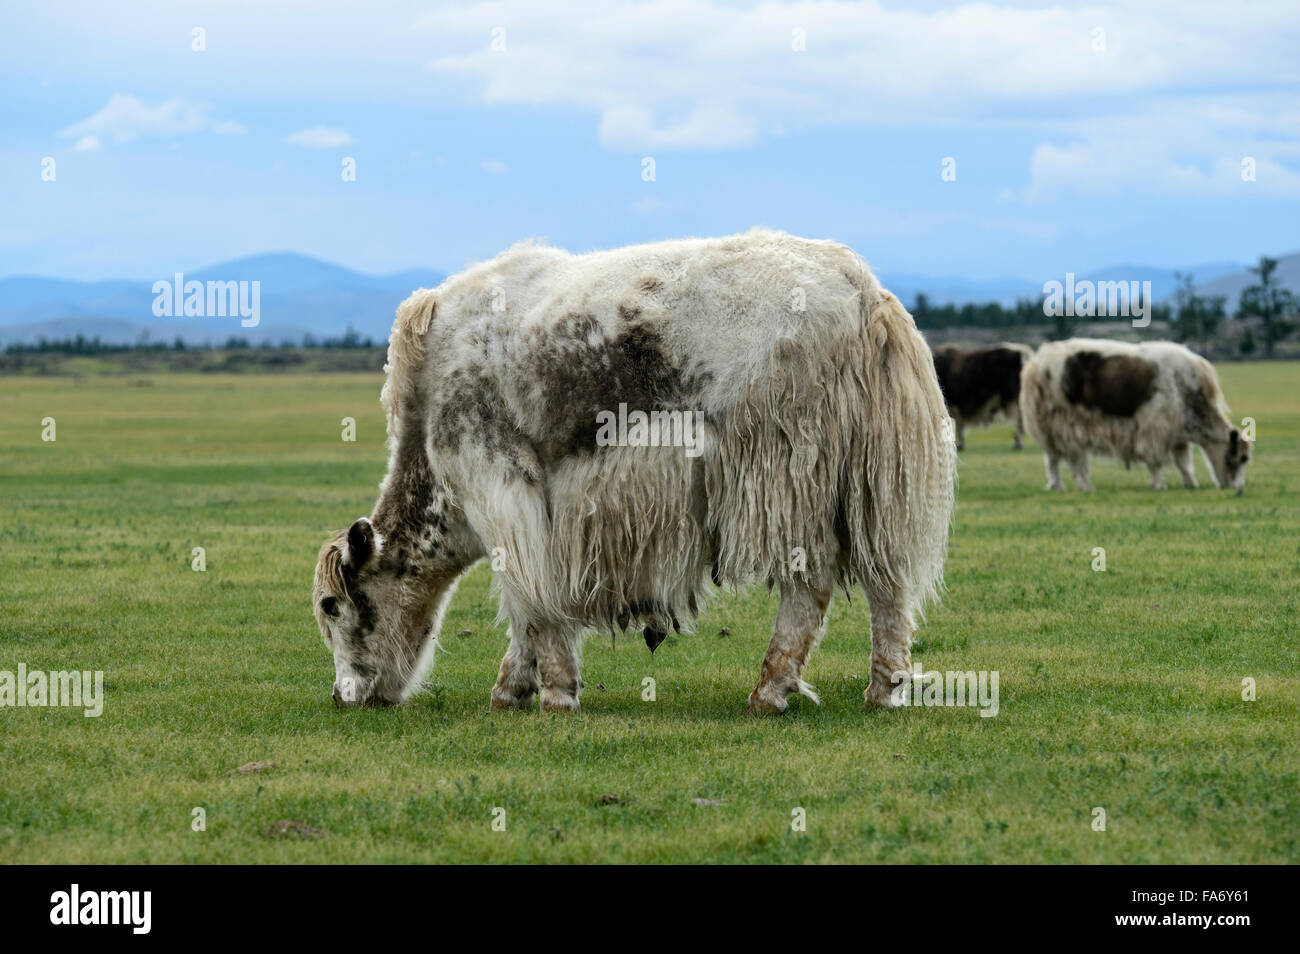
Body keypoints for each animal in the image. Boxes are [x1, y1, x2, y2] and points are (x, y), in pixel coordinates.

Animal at [312, 229, 956, 715]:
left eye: (331, 607)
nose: (345, 696)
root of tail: (865, 292)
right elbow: (525, 603)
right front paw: (512, 690)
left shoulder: (498, 487)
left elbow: (531, 598)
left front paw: (554, 693)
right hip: (866, 481)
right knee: (885, 579)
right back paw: (884, 691)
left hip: (787, 476)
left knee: (812, 581)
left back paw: (769, 692)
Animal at [1019, 338, 1251, 493]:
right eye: (1241, 457)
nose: (1237, 488)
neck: (1185, 390)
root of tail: (1036, 363)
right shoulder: (1155, 430)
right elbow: (1155, 460)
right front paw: (1159, 484)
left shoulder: (1177, 436)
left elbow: (1183, 462)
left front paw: (1190, 483)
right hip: (1065, 427)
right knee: (1073, 459)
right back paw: (1085, 486)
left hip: (1050, 429)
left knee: (1053, 459)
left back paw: (1058, 486)